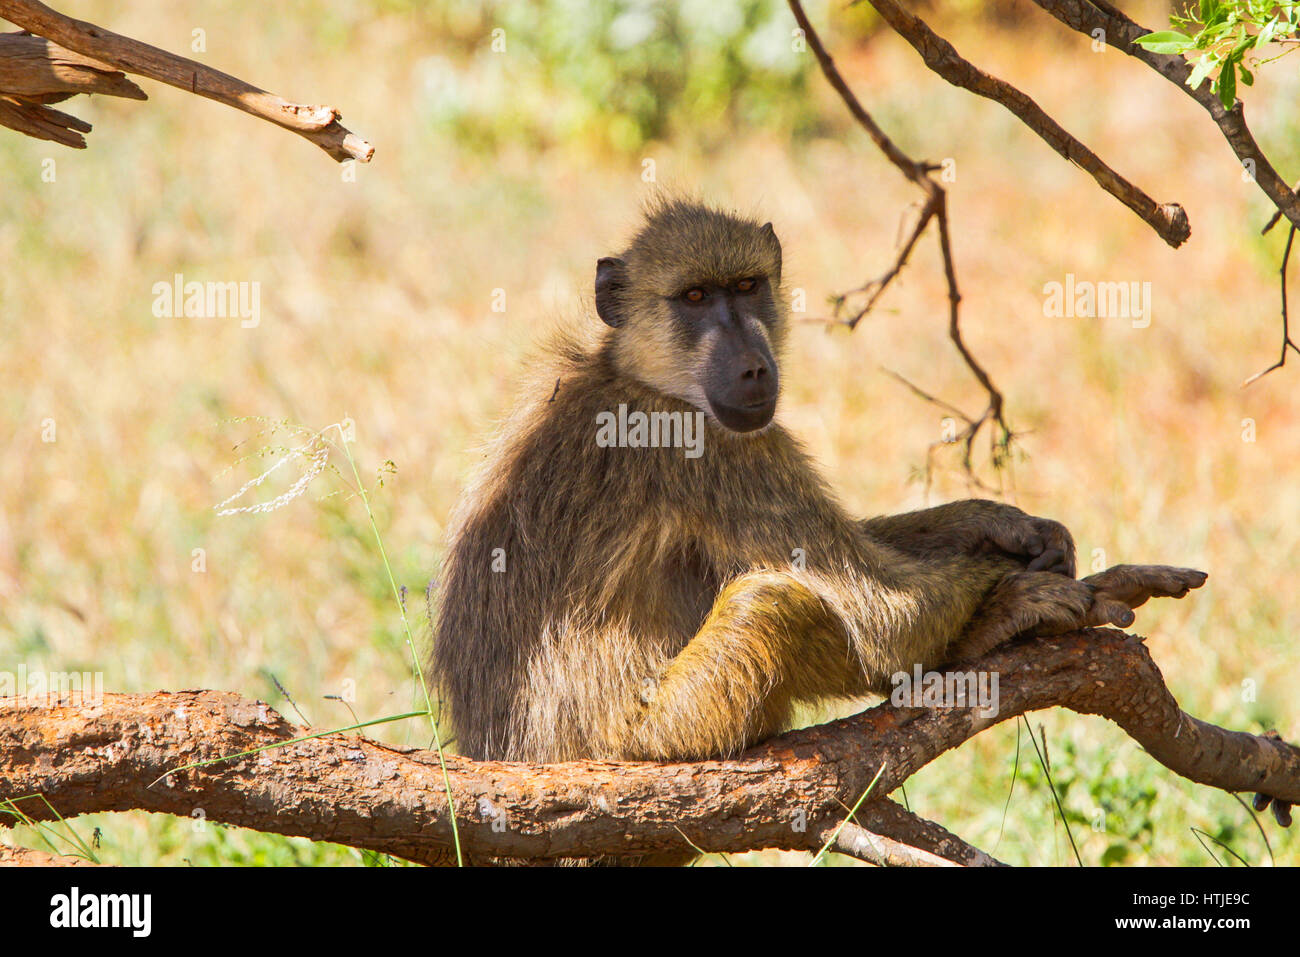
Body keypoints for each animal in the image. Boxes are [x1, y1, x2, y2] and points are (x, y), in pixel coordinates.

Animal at [429, 197, 1207, 795]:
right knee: (775, 601)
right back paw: (985, 633)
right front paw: (1010, 597)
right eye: (693, 298)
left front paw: (999, 524)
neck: (637, 376)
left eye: (747, 287)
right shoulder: (711, 449)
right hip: (652, 732)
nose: (751, 365)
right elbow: (889, 614)